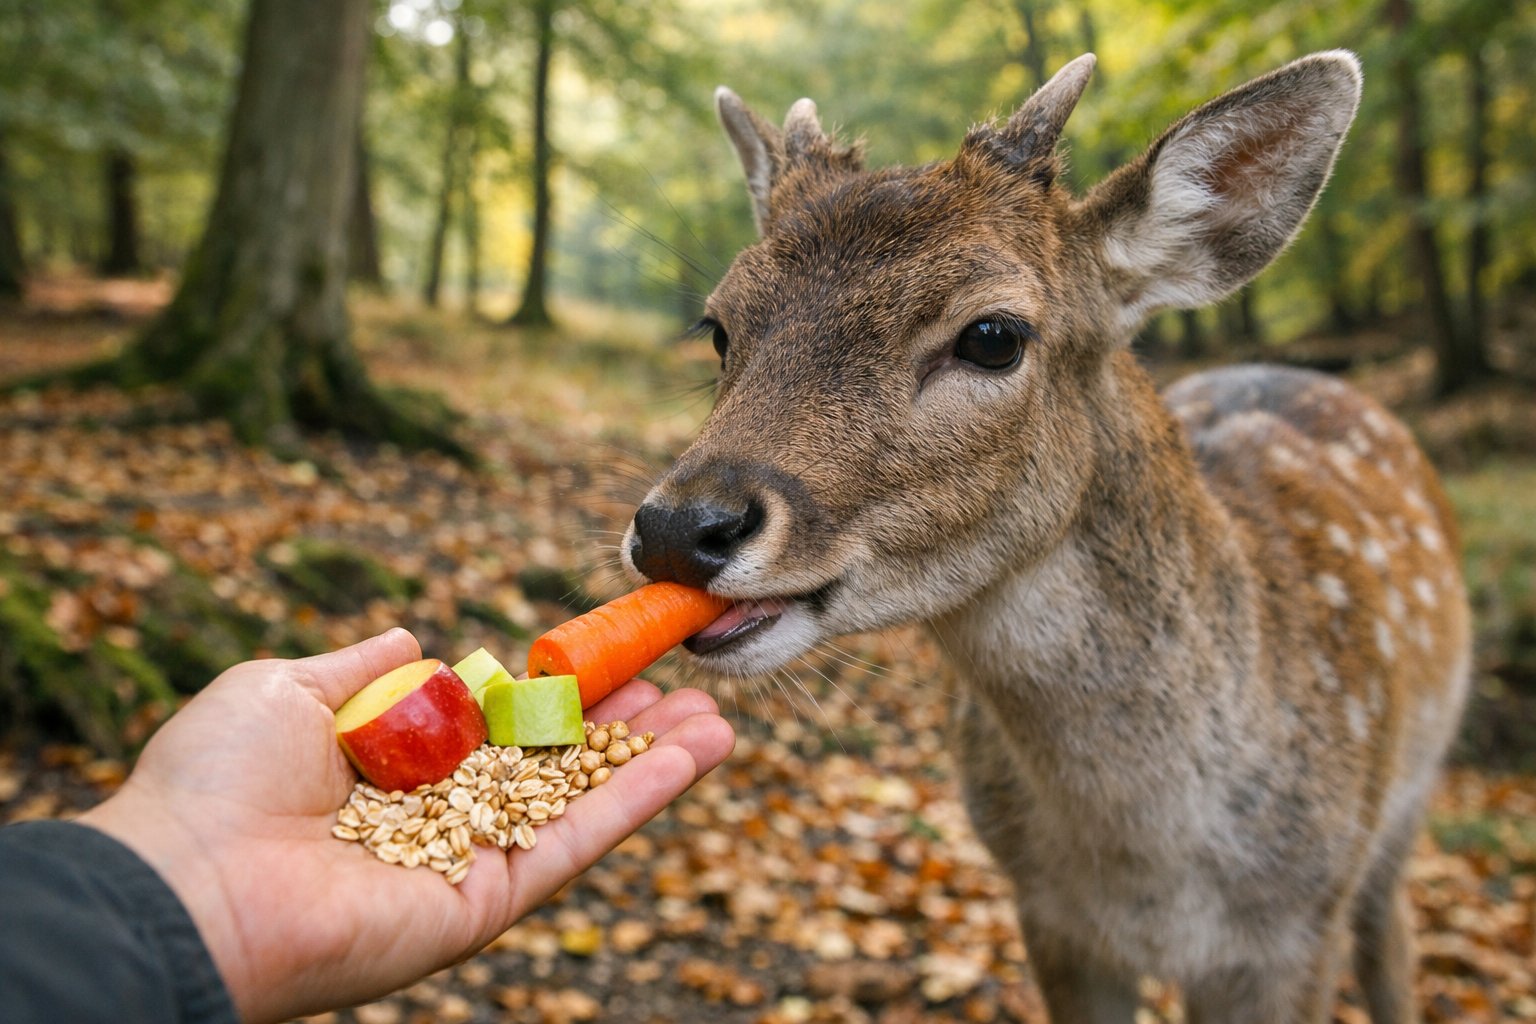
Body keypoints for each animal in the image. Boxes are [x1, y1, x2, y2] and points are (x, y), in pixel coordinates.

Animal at [621, 51, 1471, 1023]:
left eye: (993, 336)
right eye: (718, 327)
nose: (679, 529)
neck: (1149, 875)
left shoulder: (1295, 937)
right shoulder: (1051, 916)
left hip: (1401, 811)